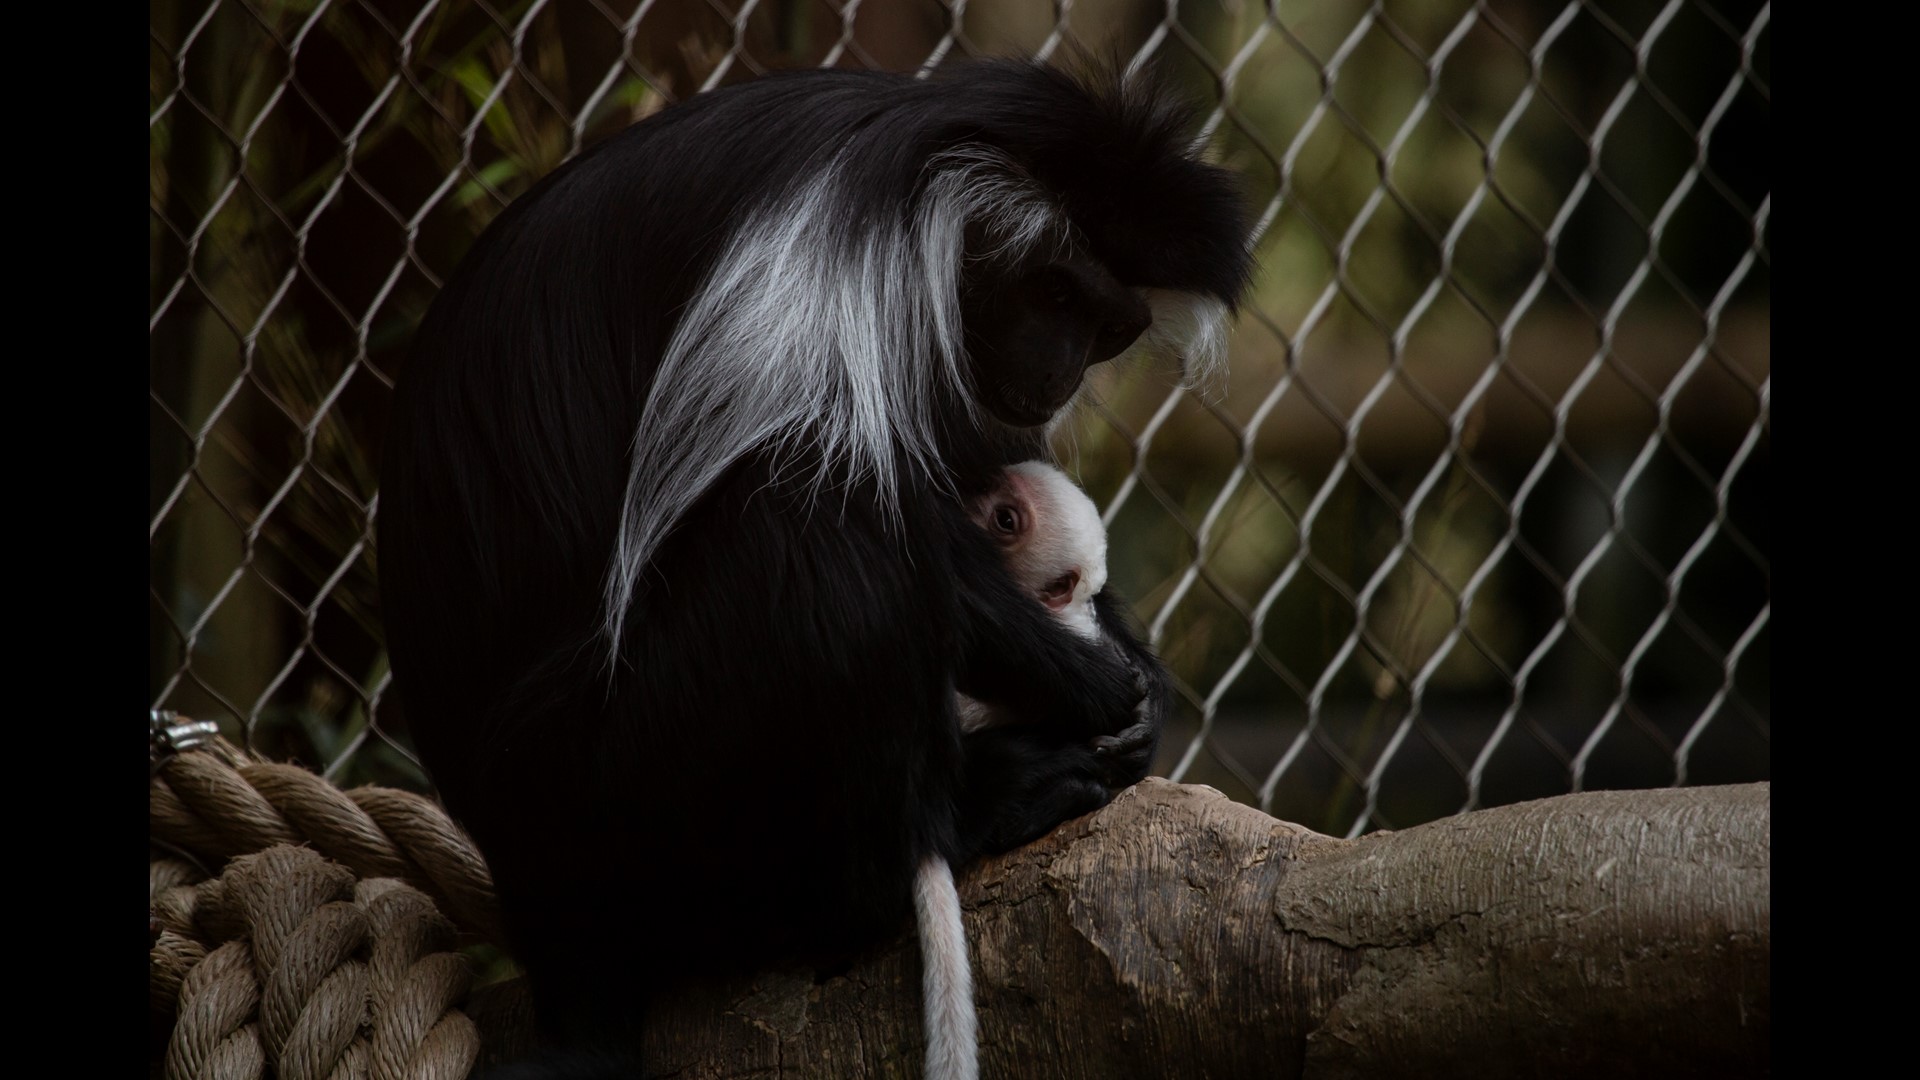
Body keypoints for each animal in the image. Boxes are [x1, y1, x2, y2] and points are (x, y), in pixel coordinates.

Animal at [377, 61, 1250, 1077]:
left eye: (1111, 327)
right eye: (1058, 297)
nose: (1062, 372)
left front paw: (1138, 687)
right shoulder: (834, 272)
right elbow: (890, 525)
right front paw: (1099, 684)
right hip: (611, 792)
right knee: (811, 538)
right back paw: (942, 835)